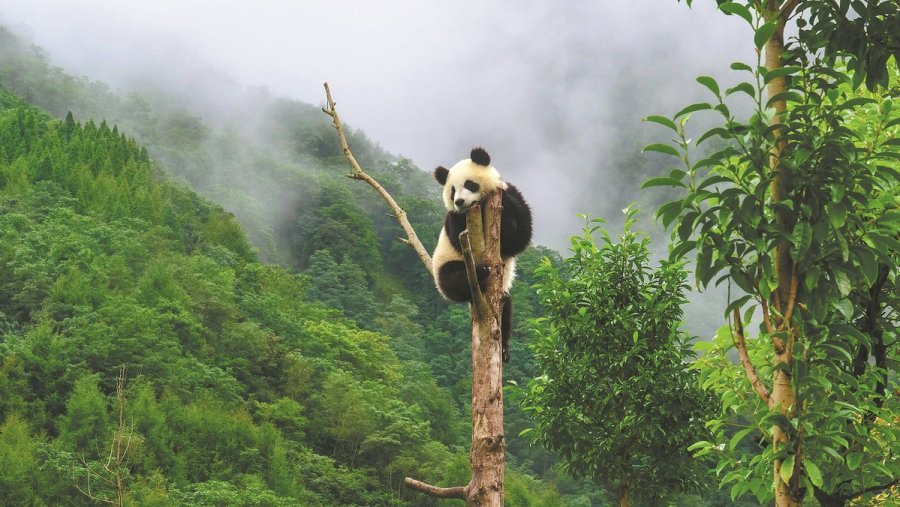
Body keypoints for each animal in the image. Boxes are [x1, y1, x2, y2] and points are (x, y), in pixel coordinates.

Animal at [432, 147, 532, 363]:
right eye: (452, 190)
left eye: (469, 184)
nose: (460, 201)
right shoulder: (454, 219)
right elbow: (458, 238)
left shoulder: (513, 196)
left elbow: (520, 236)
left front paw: (508, 222)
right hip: (445, 265)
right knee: (453, 278)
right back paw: (481, 272)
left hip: (502, 296)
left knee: (506, 311)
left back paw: (504, 350)